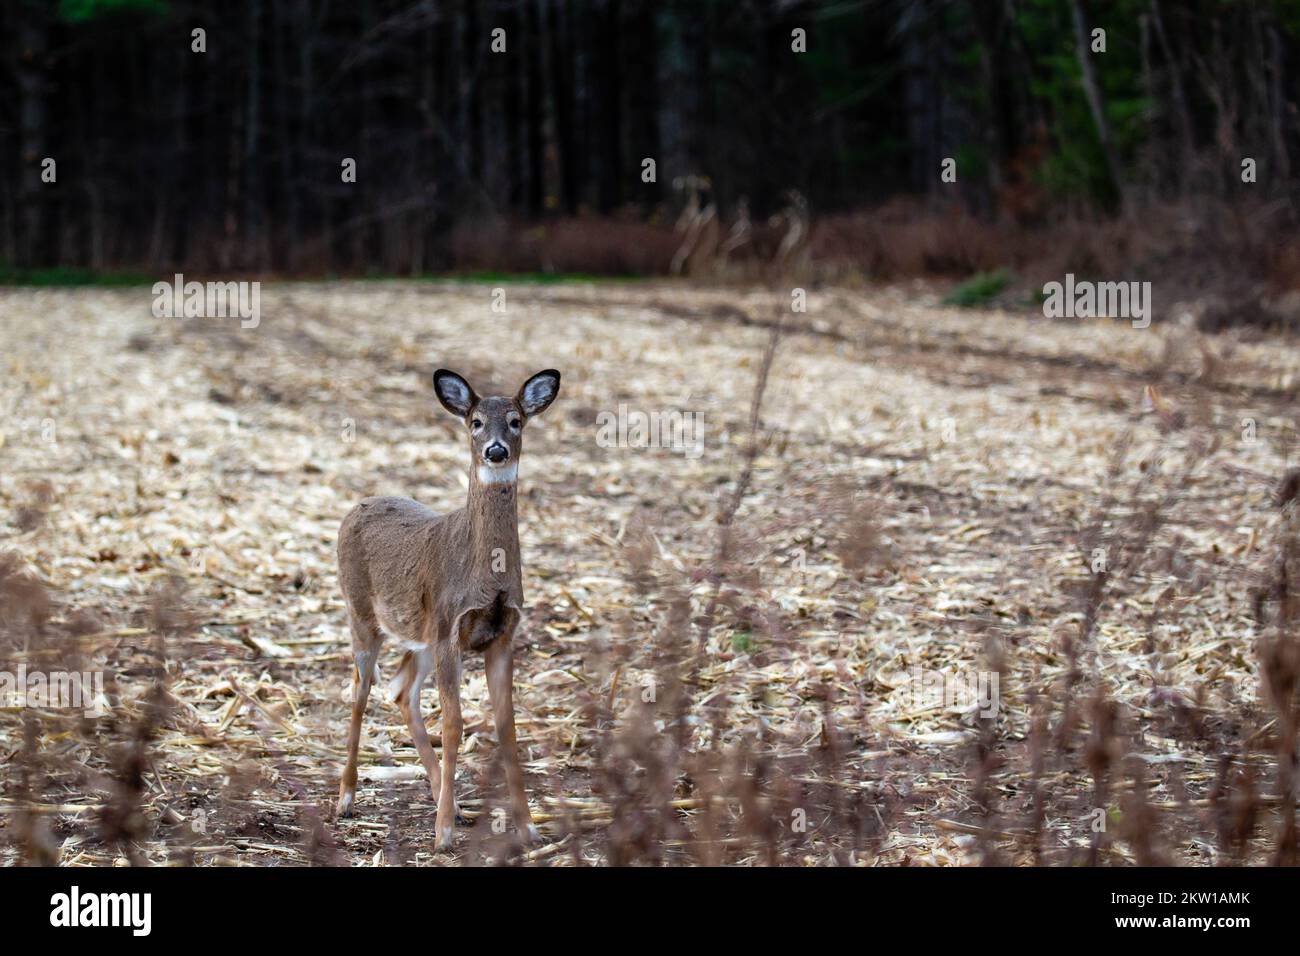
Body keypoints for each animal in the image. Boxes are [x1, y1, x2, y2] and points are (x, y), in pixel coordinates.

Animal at [335, 368, 561, 852]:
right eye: (475, 421)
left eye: (515, 420)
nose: (495, 450)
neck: (488, 576)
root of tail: (358, 505)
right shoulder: (449, 629)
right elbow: (454, 725)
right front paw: (442, 835)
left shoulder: (502, 634)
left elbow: (507, 725)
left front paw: (529, 827)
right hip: (362, 614)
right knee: (361, 691)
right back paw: (345, 798)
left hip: (420, 634)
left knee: (401, 690)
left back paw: (450, 801)